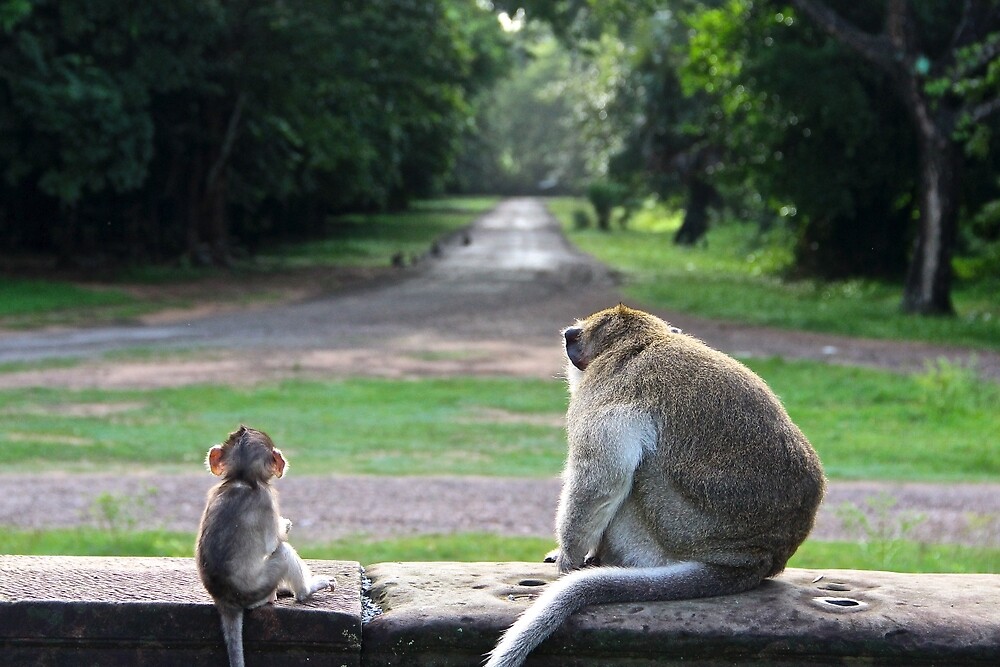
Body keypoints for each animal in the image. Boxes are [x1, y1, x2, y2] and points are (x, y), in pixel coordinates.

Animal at [196, 425, 332, 667]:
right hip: (257, 589)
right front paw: (284, 524)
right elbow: (273, 542)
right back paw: (306, 590)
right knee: (283, 553)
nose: (283, 462)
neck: (241, 478)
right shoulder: (266, 498)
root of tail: (226, 600)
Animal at [485, 305, 825, 667]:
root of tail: (756, 557)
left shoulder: (602, 393)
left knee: (635, 478)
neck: (642, 342)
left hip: (656, 541)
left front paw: (568, 559)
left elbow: (601, 478)